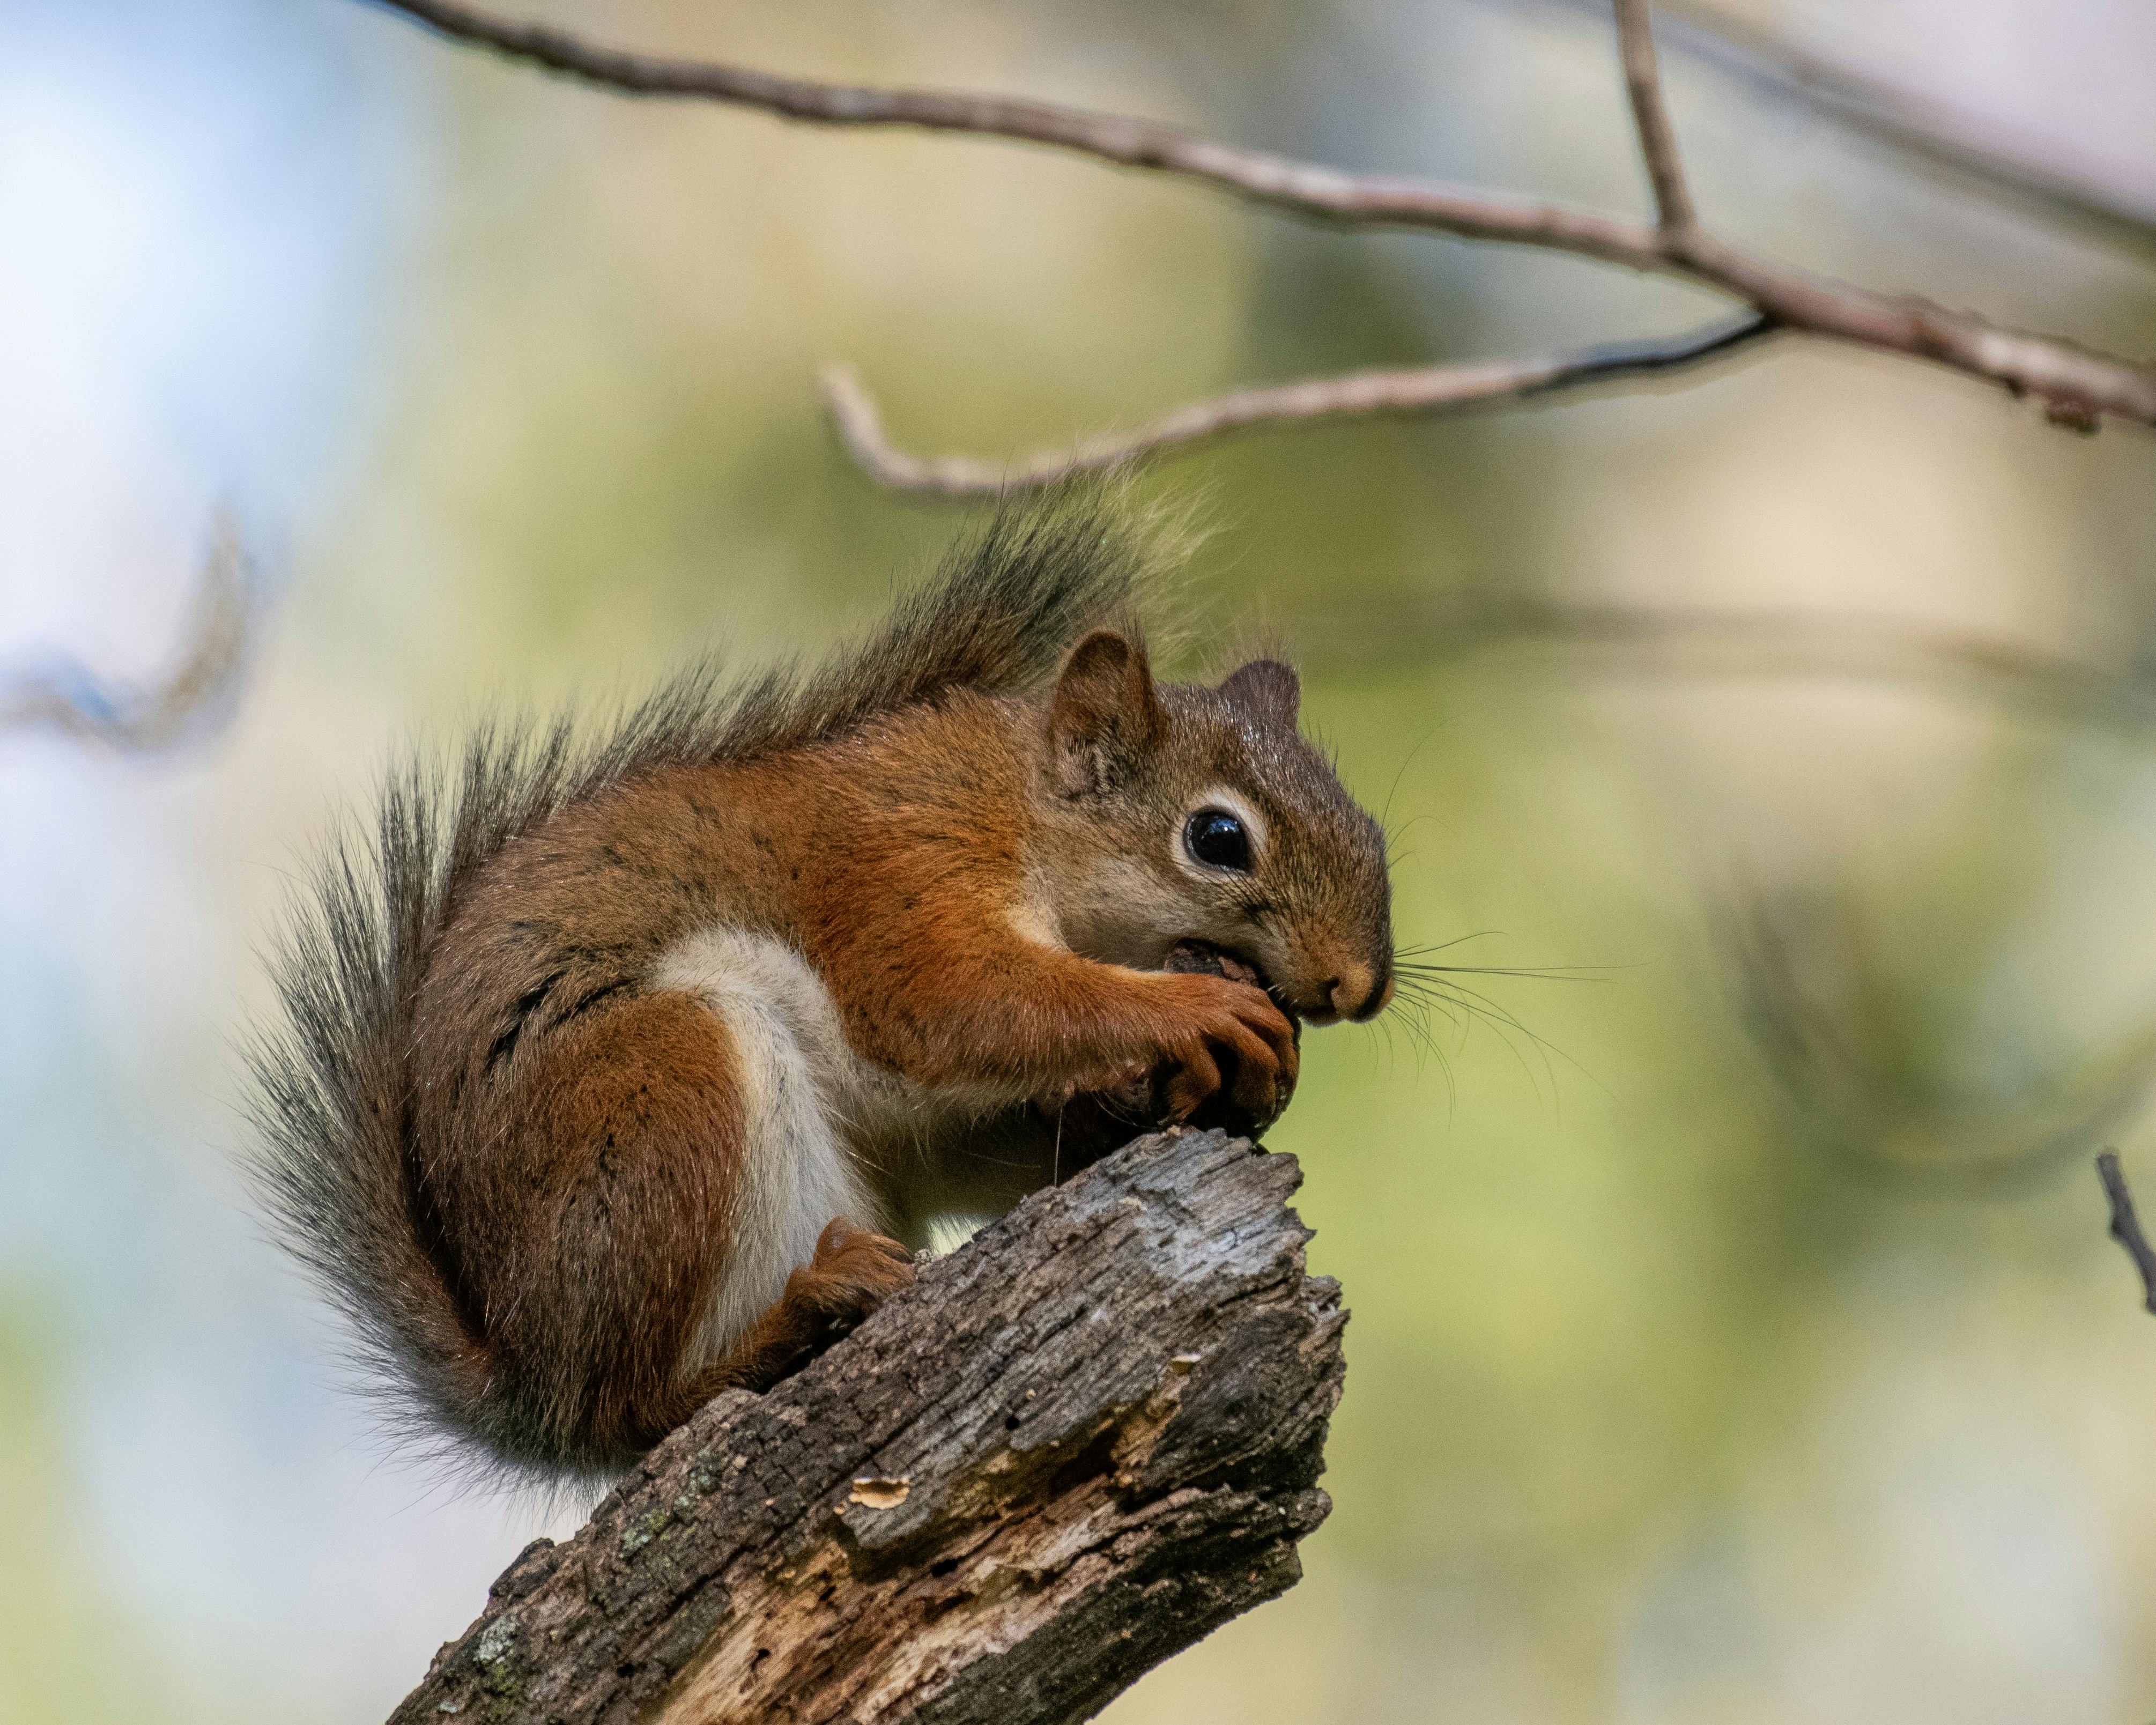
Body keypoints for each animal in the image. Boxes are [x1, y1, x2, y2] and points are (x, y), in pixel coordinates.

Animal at [250, 493, 1395, 1483]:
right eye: (1219, 838)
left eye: (1373, 828)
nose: (1361, 986)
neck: (1020, 805)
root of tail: (527, 1377)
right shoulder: (900, 873)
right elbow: (954, 1002)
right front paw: (1196, 1012)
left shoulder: (945, 1110)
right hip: (662, 1091)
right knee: (635, 1405)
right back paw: (797, 1313)